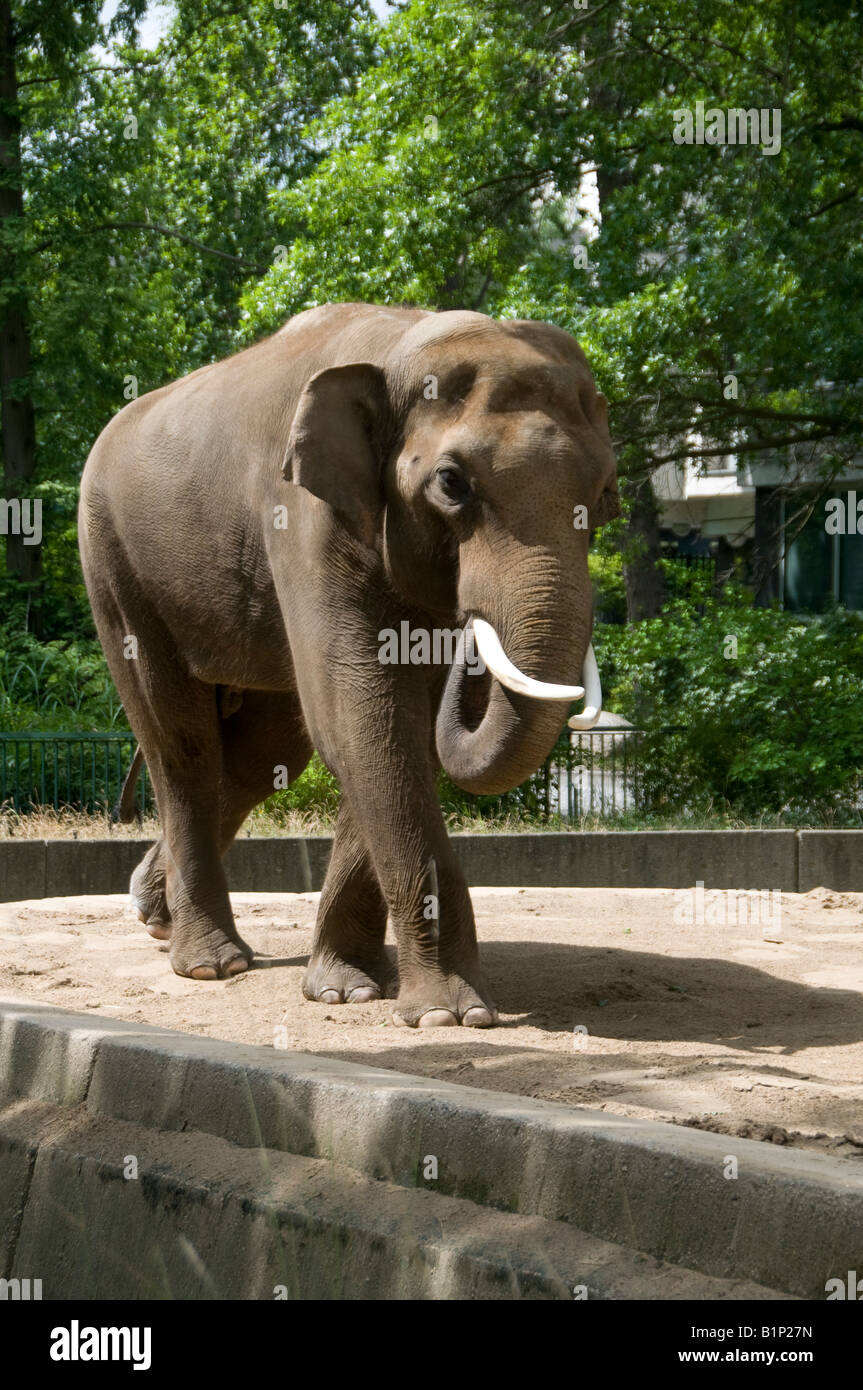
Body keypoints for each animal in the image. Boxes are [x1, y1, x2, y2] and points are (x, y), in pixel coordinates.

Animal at [79, 302, 619, 1028]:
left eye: (605, 491)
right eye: (452, 483)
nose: (467, 628)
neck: (402, 343)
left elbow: (387, 734)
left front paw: (347, 988)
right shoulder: (305, 517)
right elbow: (365, 721)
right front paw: (450, 1015)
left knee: (260, 757)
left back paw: (149, 907)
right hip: (113, 562)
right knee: (180, 741)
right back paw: (210, 963)